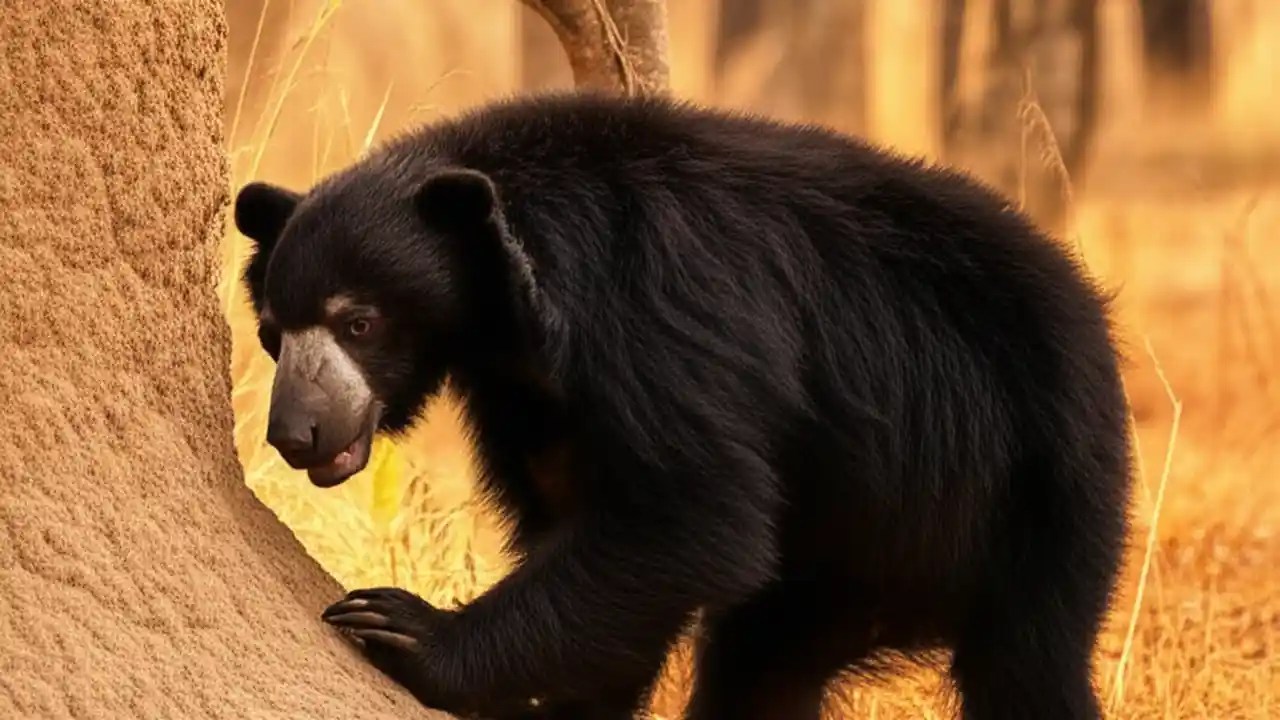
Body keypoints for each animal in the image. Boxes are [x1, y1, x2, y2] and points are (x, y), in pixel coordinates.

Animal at [232, 90, 1132, 720]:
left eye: (359, 321)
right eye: (274, 334)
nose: (295, 434)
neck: (509, 313)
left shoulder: (658, 312)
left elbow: (690, 512)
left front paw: (398, 626)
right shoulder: (532, 398)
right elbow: (600, 540)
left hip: (1041, 489)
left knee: (1030, 663)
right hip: (841, 557)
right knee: (763, 669)